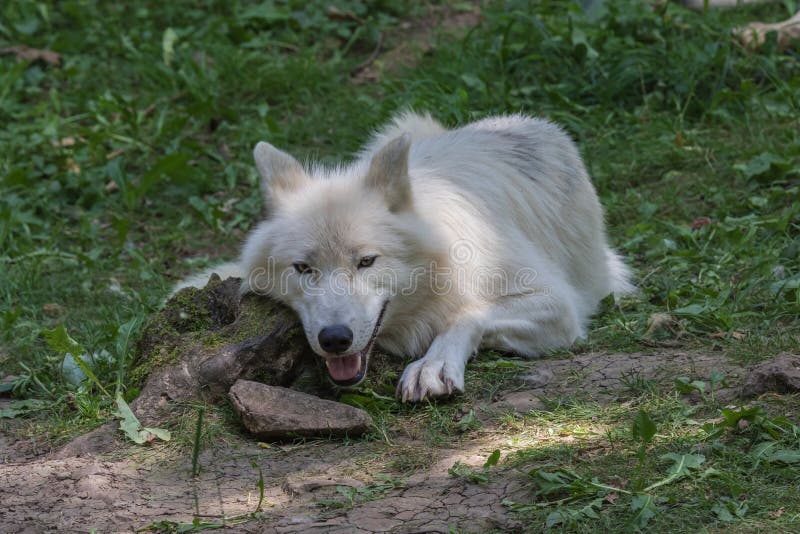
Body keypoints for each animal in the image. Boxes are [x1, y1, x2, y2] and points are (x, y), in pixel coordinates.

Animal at [177, 112, 634, 402]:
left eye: (367, 262)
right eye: (304, 268)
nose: (335, 339)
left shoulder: (560, 307)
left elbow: (468, 314)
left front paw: (432, 366)